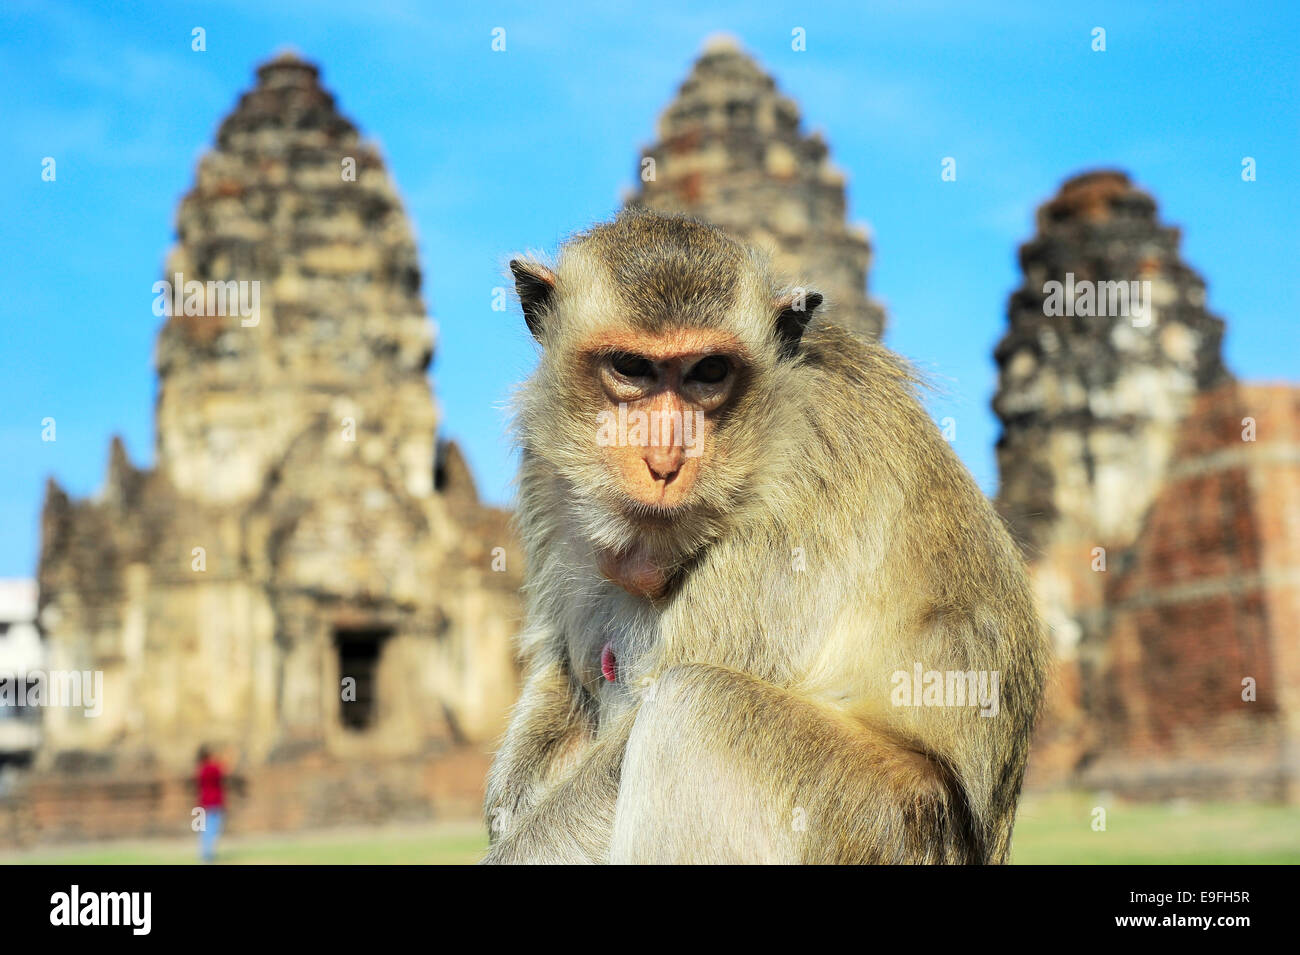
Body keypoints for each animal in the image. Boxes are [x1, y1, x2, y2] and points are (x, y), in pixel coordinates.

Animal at [483, 209, 1049, 864]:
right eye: (630, 367)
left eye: (709, 372)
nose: (665, 460)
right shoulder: (544, 464)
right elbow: (565, 662)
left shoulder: (806, 477)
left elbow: (633, 733)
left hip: (872, 820)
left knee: (694, 706)